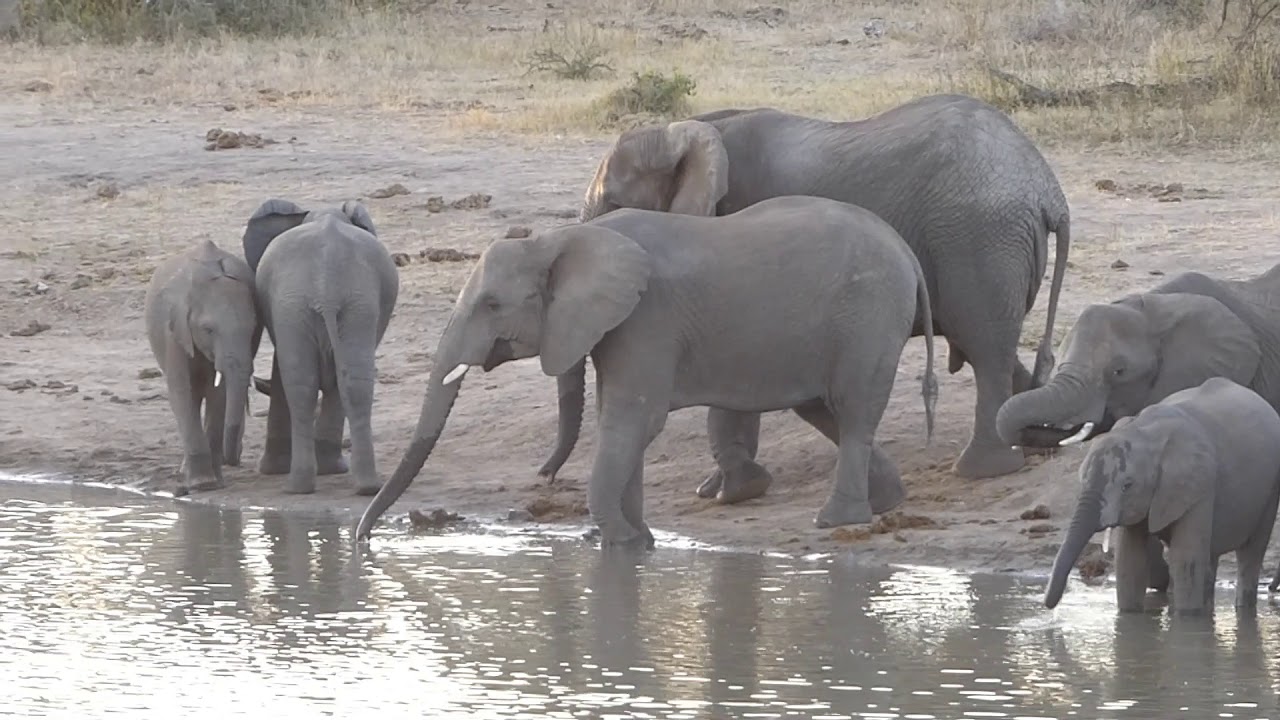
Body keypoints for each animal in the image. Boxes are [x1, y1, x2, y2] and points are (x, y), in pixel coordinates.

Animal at [143, 238, 261, 495]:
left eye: (253, 328)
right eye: (208, 330)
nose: (233, 459)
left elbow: (219, 394)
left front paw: (212, 484)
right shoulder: (174, 332)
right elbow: (183, 392)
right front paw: (204, 485)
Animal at [241, 198, 400, 496]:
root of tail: (327, 287)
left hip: (310, 304)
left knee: (306, 385)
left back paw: (305, 483)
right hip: (349, 306)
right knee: (347, 383)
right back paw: (361, 486)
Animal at [355, 195, 938, 547]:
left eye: (493, 305)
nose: (363, 541)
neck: (561, 240)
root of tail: (906, 250)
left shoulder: (648, 318)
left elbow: (633, 419)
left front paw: (619, 539)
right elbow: (623, 422)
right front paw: (635, 544)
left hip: (868, 316)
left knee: (853, 409)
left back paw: (836, 521)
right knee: (825, 411)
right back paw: (885, 505)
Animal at [538, 93, 1071, 492]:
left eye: (614, 203)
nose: (546, 477)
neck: (689, 129)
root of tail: (1048, 190)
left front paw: (733, 492)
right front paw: (726, 490)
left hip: (979, 239)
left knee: (986, 348)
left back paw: (980, 469)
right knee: (992, 344)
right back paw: (1038, 440)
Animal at [1044, 377, 1280, 615]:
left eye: (1127, 486)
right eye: (1082, 479)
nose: (1049, 605)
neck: (1144, 430)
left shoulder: (1199, 484)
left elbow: (1185, 560)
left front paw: (1186, 620)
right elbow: (1130, 561)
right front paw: (1129, 617)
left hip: (1270, 491)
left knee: (1250, 554)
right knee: (1209, 558)